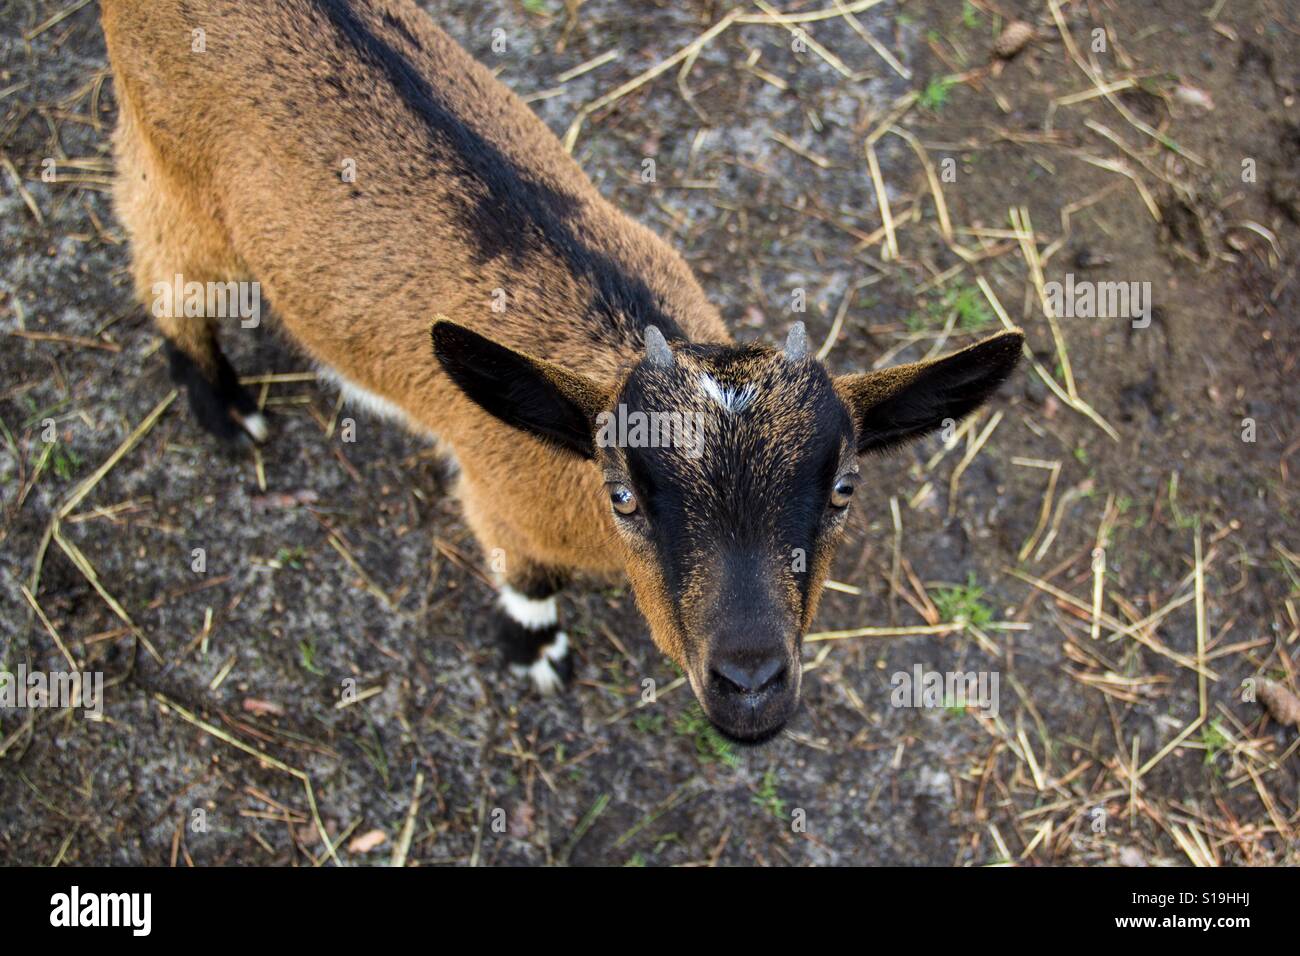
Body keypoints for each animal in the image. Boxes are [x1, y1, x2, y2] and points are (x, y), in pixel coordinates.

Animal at [101, 0, 1022, 742]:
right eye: (622, 495)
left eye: (843, 490)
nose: (751, 685)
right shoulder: (500, 496)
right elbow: (526, 575)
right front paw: (536, 651)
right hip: (172, 168)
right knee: (163, 269)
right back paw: (225, 409)